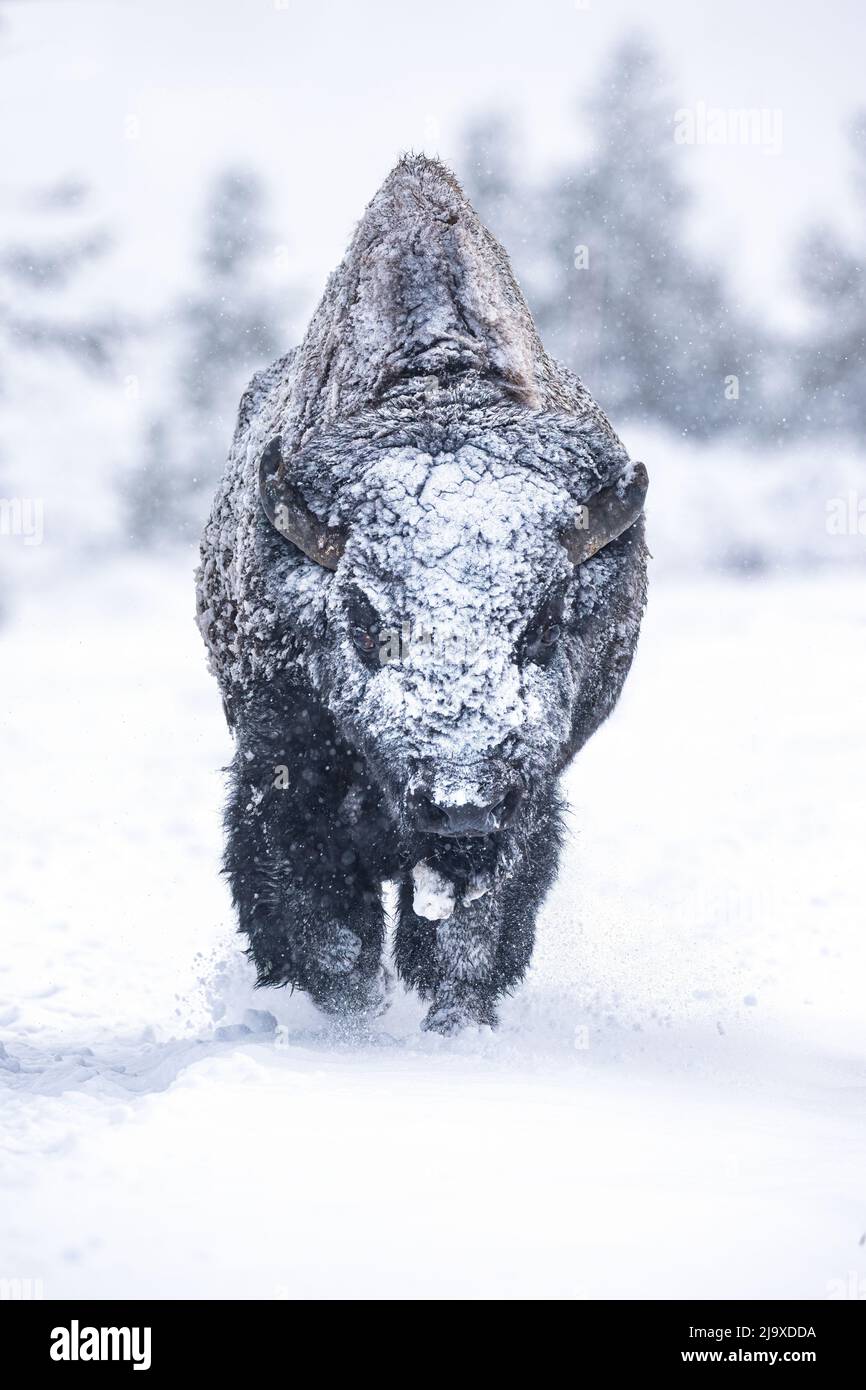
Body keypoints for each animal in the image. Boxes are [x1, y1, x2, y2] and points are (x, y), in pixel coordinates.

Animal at [194, 159, 644, 1034]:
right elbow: (327, 929)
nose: (460, 802)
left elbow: (469, 936)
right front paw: (356, 1019)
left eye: (544, 625)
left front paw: (452, 1024)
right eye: (364, 622)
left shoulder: (526, 799)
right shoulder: (282, 772)